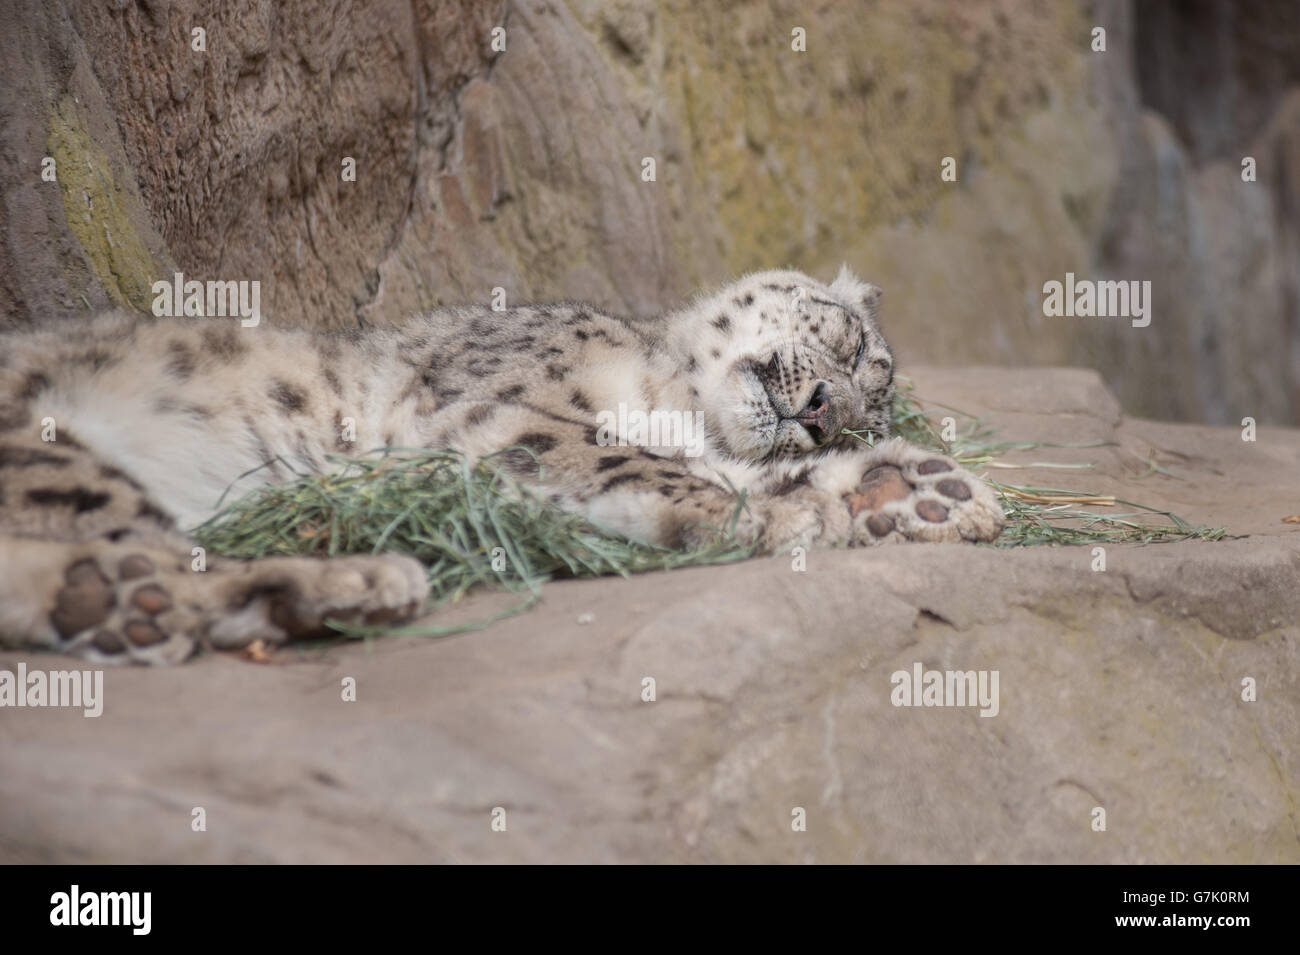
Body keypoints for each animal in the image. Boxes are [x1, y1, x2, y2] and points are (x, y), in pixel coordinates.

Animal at [0, 266, 1004, 665]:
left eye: (863, 415)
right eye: (848, 343)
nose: (828, 411)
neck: (675, 397)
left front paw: (912, 492)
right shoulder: (503, 406)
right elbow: (631, 461)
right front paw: (787, 511)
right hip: (46, 445)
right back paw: (363, 576)